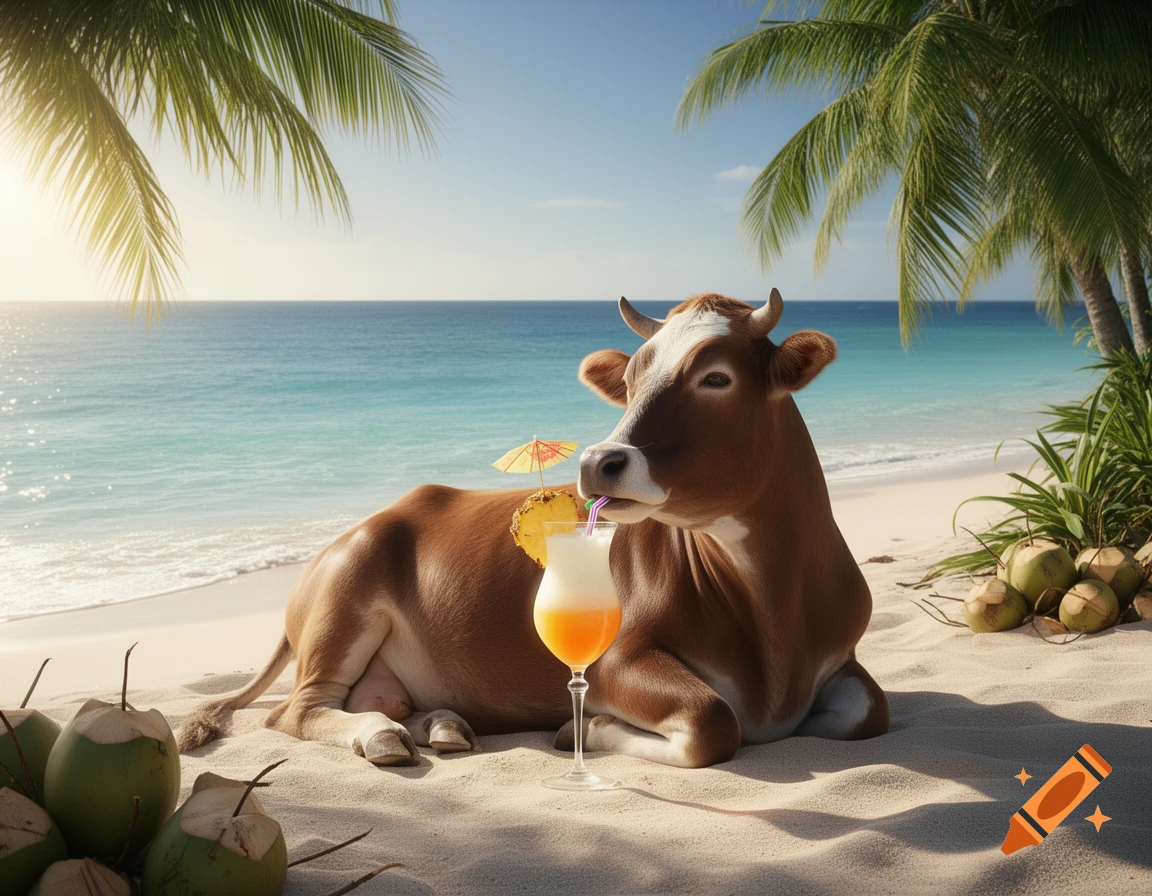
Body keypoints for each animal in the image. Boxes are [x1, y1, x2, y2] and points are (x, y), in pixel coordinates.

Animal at [178, 291, 888, 768]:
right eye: (629, 380)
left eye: (717, 377)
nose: (597, 461)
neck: (775, 613)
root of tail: (367, 523)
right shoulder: (615, 659)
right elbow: (713, 719)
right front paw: (585, 731)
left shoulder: (843, 658)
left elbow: (869, 713)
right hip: (343, 603)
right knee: (296, 709)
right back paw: (380, 734)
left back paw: (440, 724)